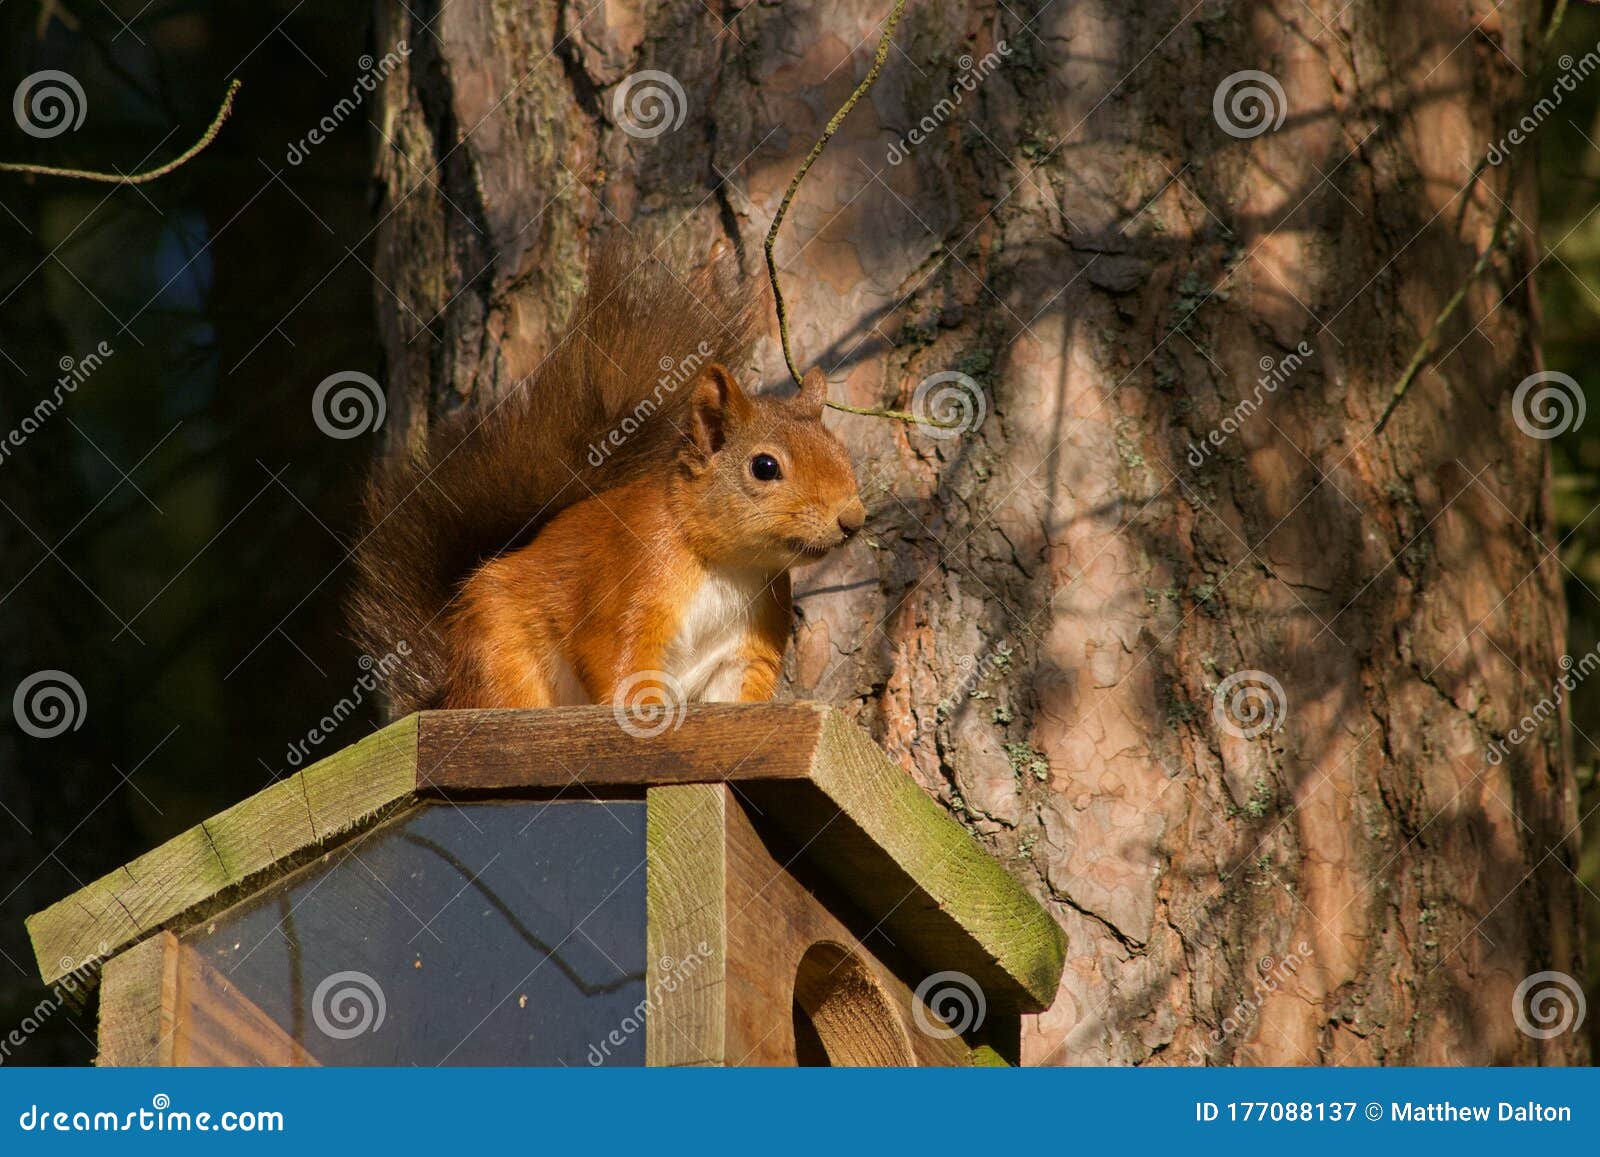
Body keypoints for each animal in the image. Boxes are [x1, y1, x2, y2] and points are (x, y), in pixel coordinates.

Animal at [349, 241, 865, 717]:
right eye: (765, 467)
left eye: (842, 452)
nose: (853, 520)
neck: (729, 567)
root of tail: (445, 694)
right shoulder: (632, 579)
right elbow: (614, 659)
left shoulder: (747, 648)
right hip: (499, 660)